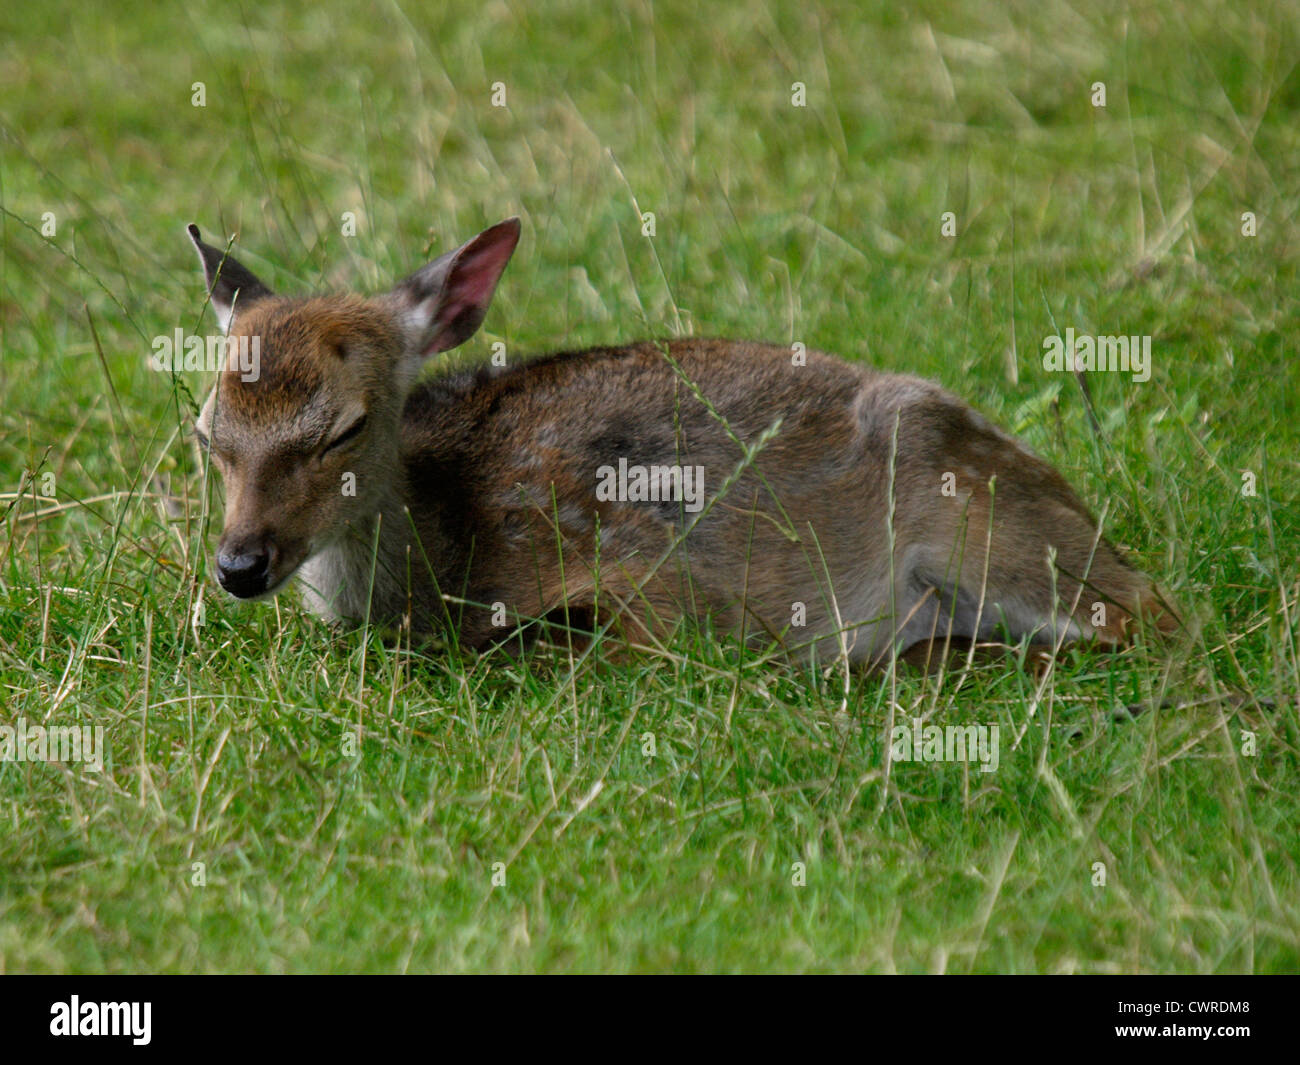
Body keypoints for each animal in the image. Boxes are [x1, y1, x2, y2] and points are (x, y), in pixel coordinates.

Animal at [186, 217, 1176, 666]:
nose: (240, 563)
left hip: (980, 511)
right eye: (207, 430)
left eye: (347, 427)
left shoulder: (645, 595)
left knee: (1150, 622)